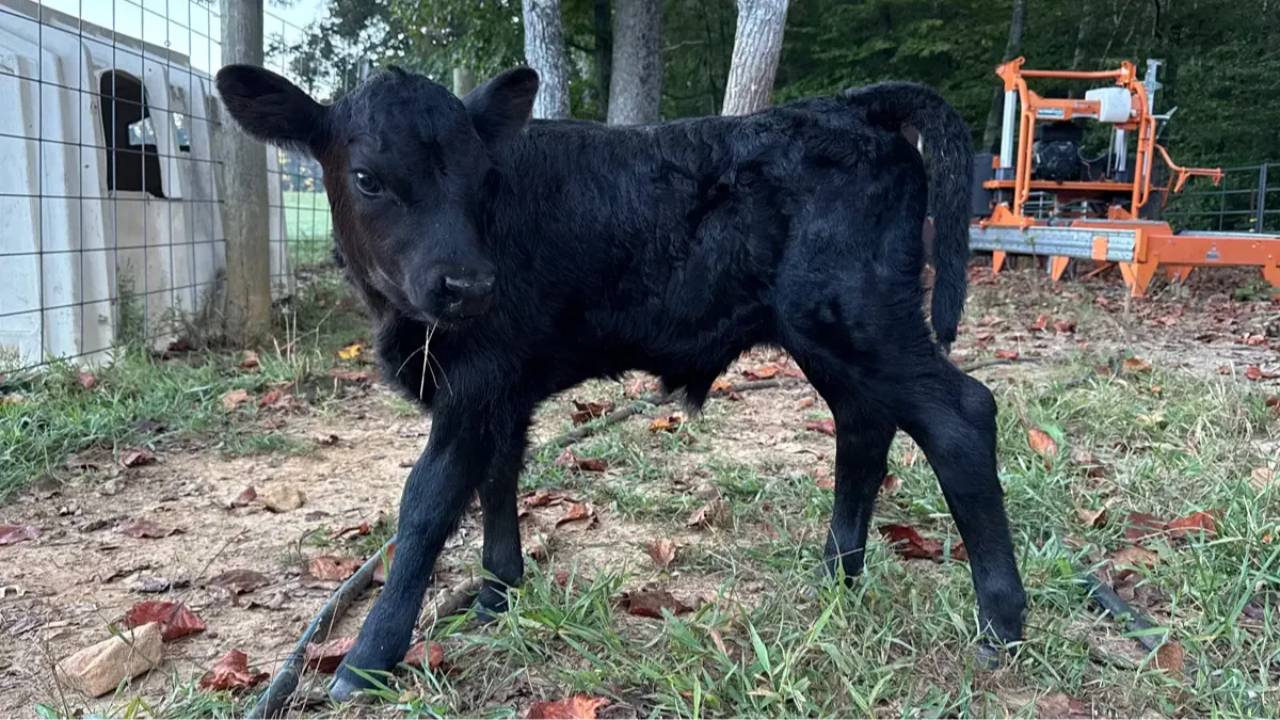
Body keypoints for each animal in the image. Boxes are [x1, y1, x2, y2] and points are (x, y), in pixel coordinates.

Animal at [214, 64, 1027, 699]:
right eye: (367, 178)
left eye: (480, 179)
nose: (468, 285)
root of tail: (850, 105)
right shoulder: (502, 389)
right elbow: (497, 479)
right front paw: (496, 596)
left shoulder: (474, 385)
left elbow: (426, 504)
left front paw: (366, 662)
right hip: (829, 334)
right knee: (864, 424)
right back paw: (836, 578)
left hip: (859, 315)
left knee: (961, 414)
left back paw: (1001, 626)